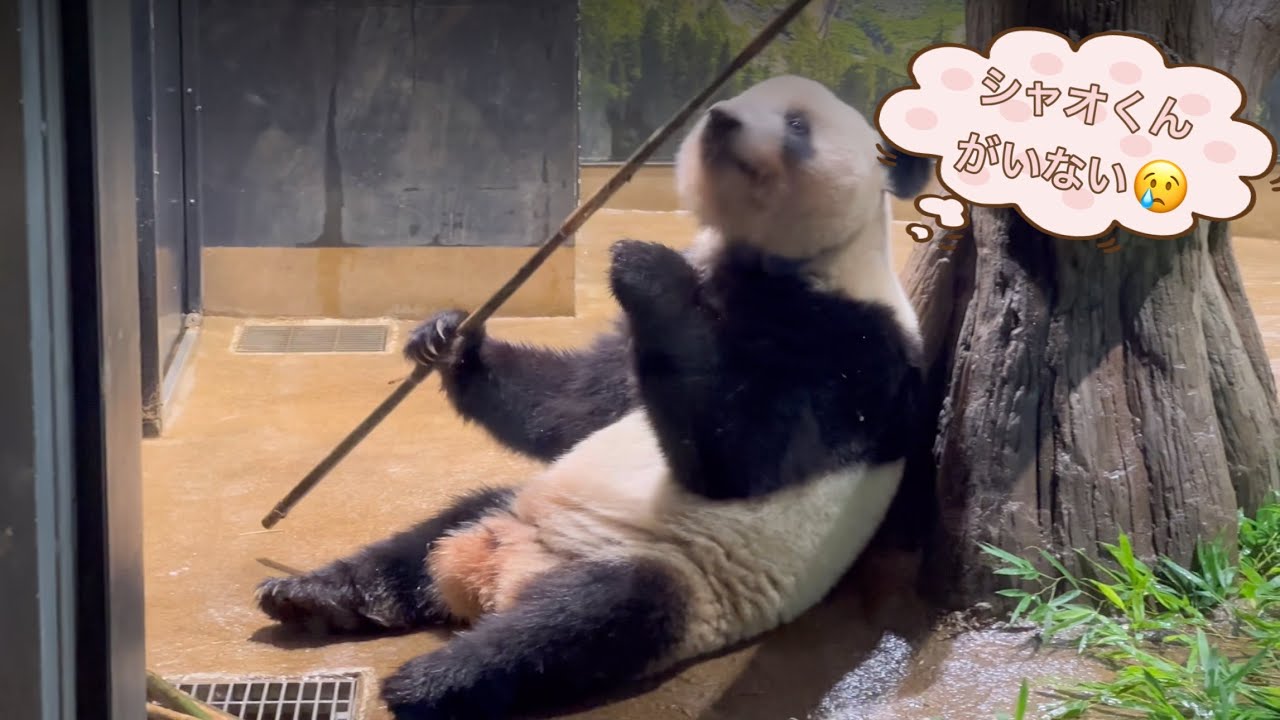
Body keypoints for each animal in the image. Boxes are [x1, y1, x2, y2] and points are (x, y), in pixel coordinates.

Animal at [255, 74, 933, 719]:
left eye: (797, 124)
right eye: (742, 97)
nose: (721, 118)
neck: (768, 264)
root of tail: (495, 579)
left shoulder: (853, 344)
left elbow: (743, 459)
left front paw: (645, 266)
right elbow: (577, 407)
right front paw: (447, 340)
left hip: (677, 577)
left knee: (579, 625)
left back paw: (425, 680)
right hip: (506, 509)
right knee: (425, 539)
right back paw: (315, 598)